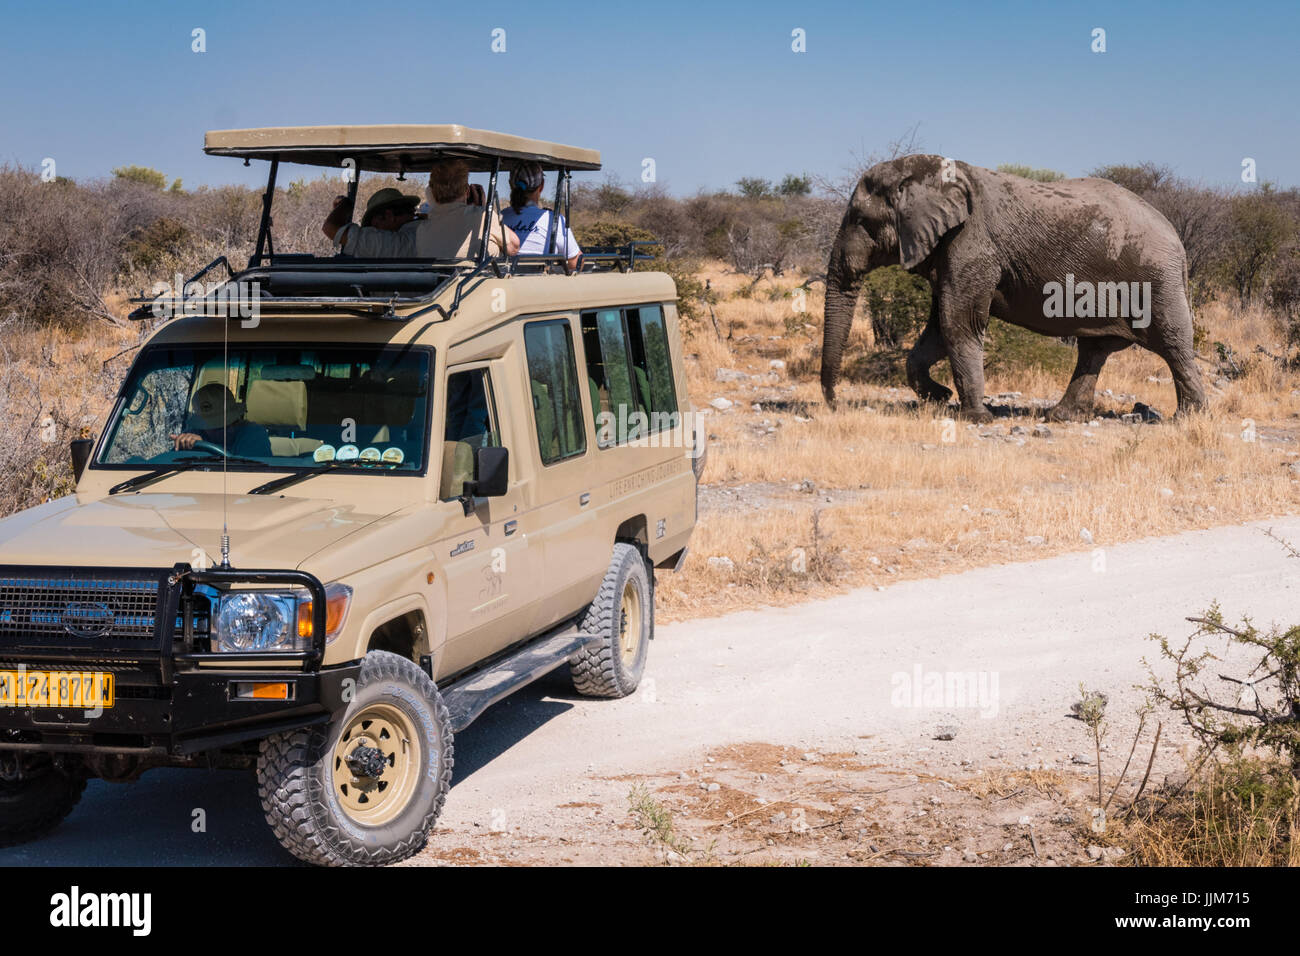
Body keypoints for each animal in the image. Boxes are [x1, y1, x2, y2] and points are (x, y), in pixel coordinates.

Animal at [820, 154, 1207, 422]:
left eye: (860, 220)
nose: (834, 404)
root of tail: (1178, 242)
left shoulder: (971, 243)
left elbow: (958, 323)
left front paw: (975, 418)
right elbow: (938, 329)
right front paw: (939, 397)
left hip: (1154, 279)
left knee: (1173, 344)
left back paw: (1187, 419)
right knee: (1095, 349)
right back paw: (1060, 417)